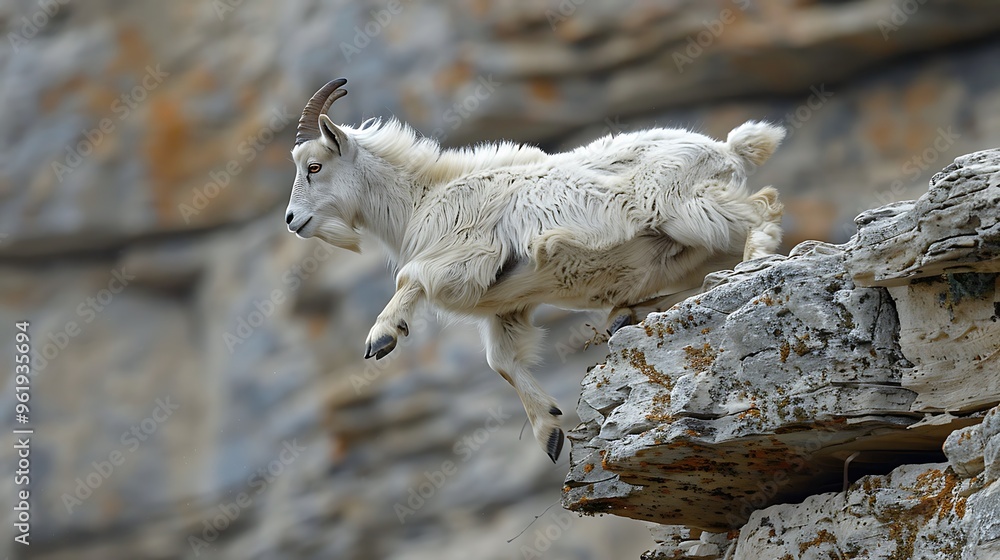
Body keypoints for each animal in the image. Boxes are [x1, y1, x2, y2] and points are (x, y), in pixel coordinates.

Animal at [285, 79, 785, 462]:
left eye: (315, 166)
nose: (291, 220)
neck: (421, 200)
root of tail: (724, 149)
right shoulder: (506, 306)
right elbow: (501, 362)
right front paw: (551, 432)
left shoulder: (465, 256)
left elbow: (409, 278)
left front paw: (383, 337)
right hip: (689, 239)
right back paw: (625, 314)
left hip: (684, 208)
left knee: (761, 209)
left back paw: (750, 261)